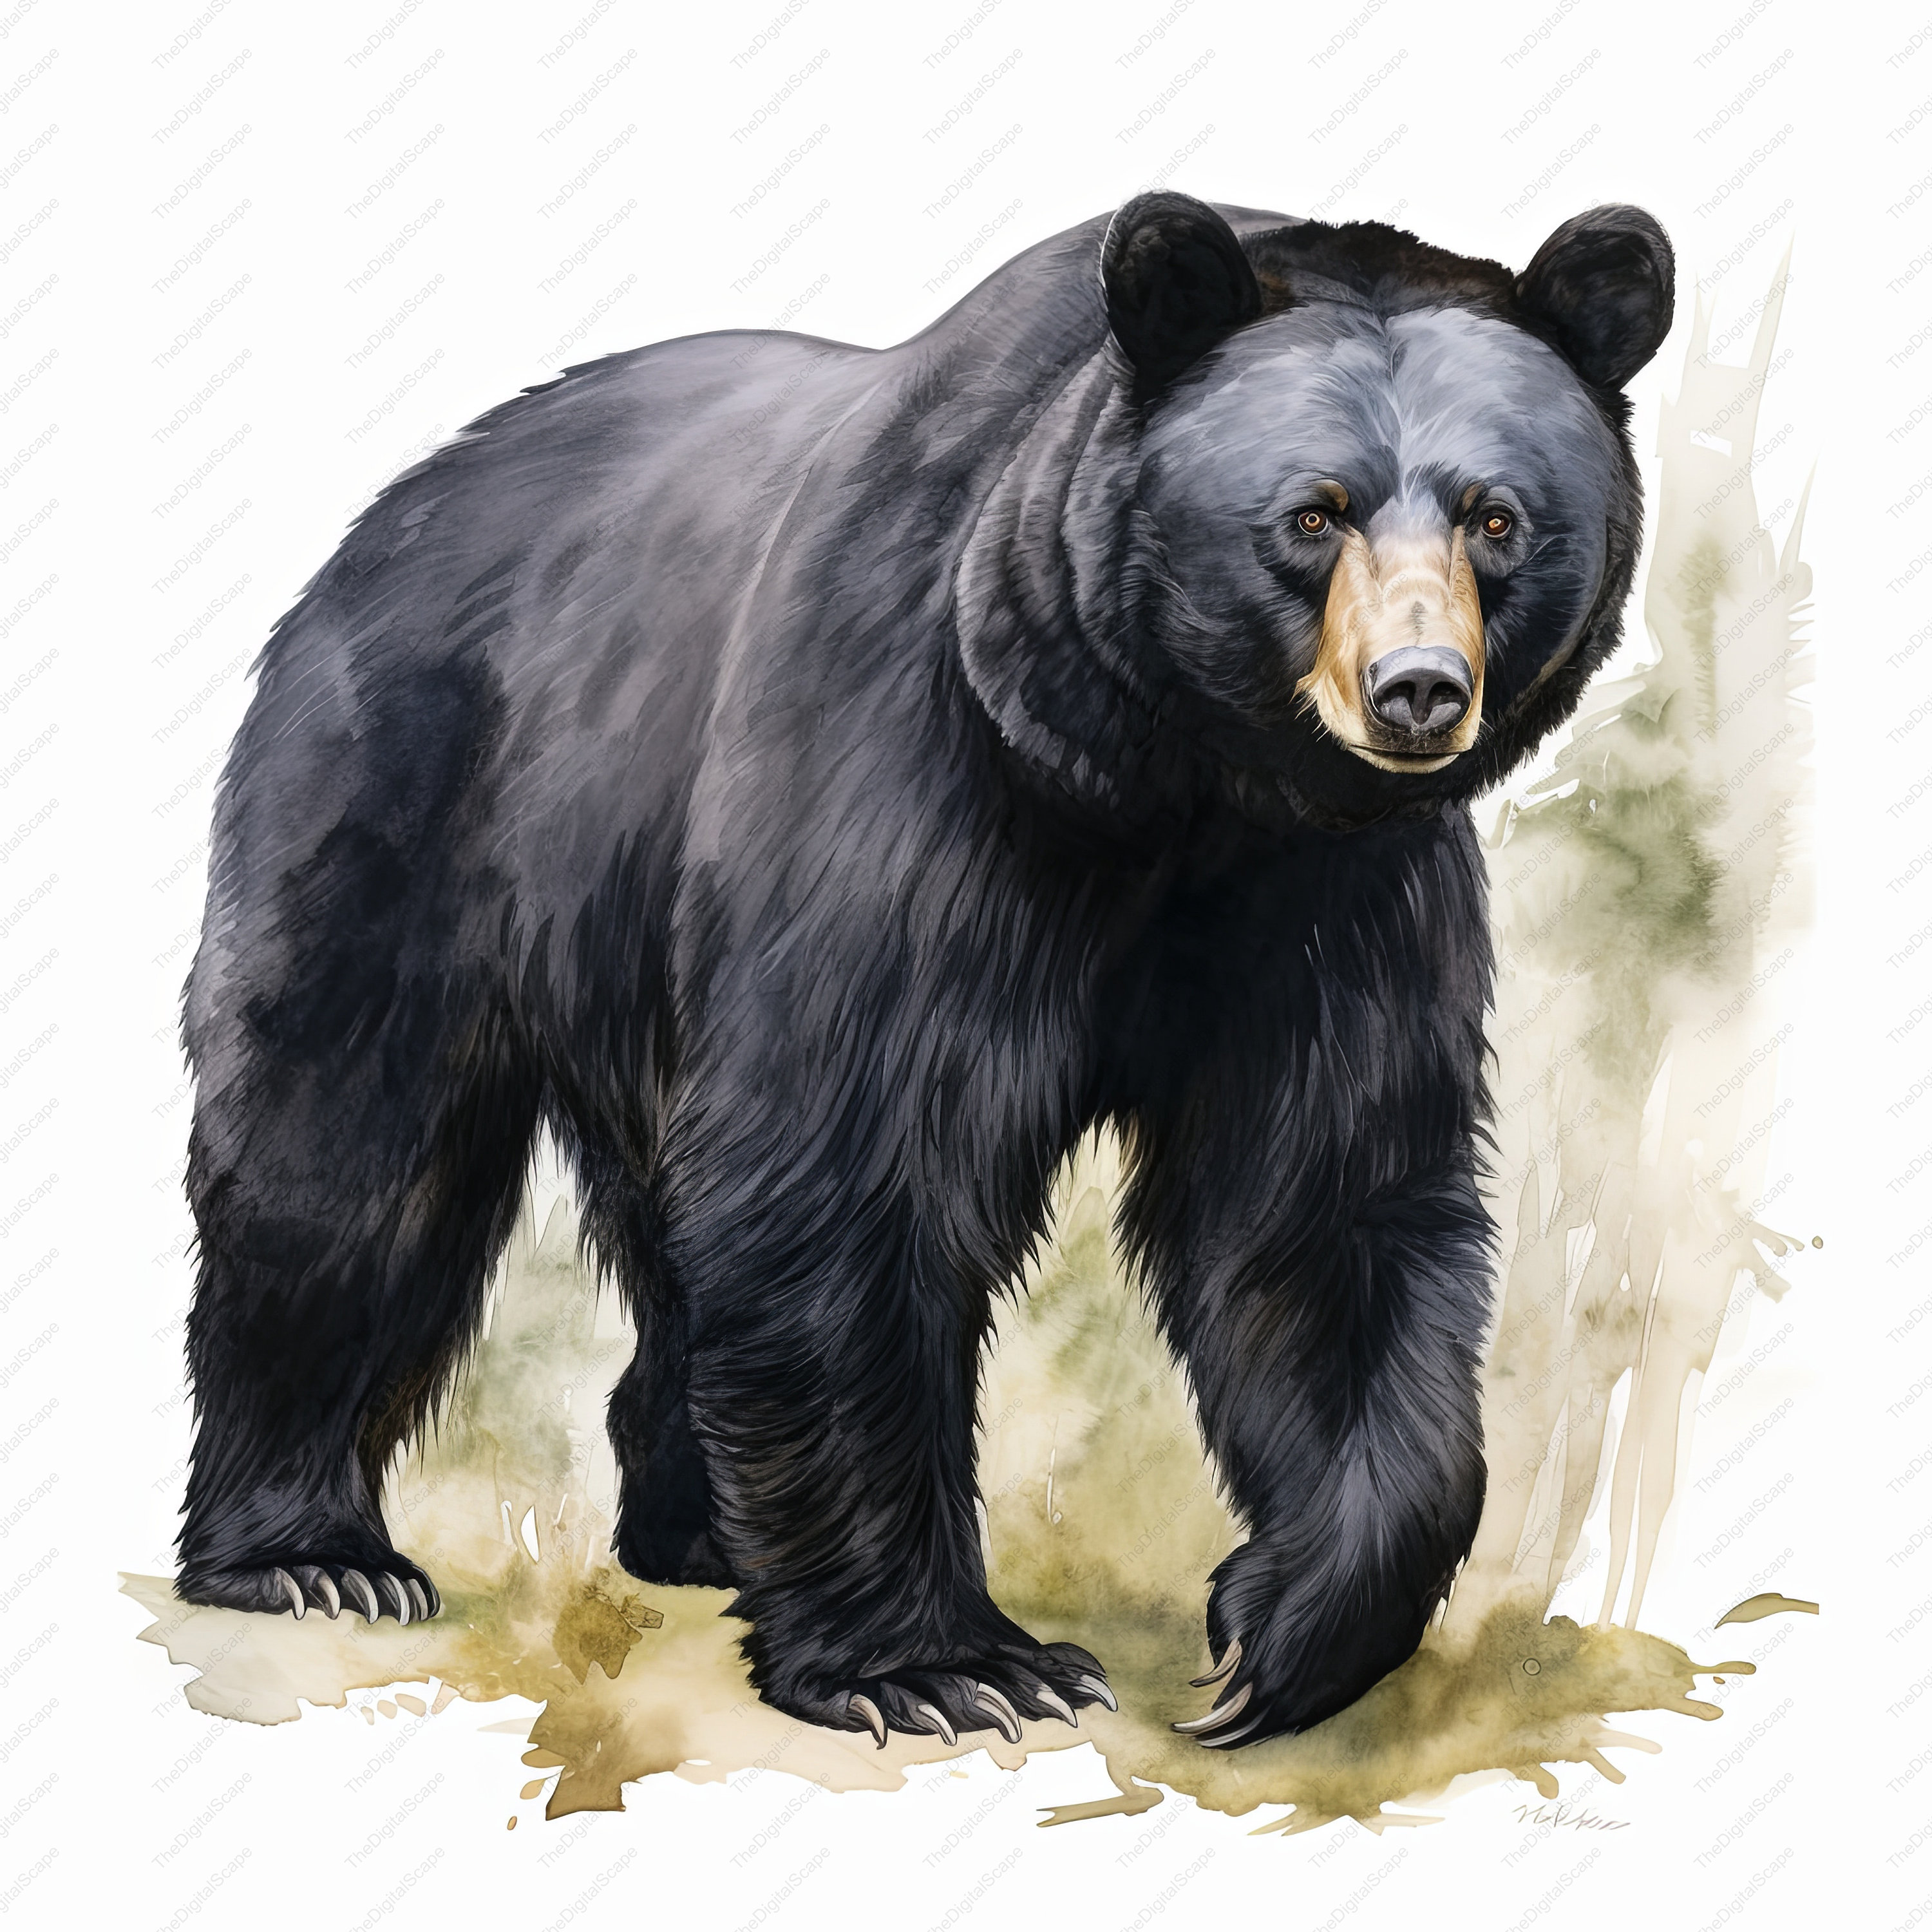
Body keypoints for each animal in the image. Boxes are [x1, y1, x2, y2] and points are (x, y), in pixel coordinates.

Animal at [175, 191, 1672, 1751]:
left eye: (1496, 518)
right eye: (1311, 515)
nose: (1419, 691)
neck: (1162, 780)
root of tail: (394, 508)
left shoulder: (1326, 897)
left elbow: (1326, 1201)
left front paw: (1286, 1636)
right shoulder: (914, 774)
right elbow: (852, 1166)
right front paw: (948, 1664)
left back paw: (692, 1528)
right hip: (412, 796)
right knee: (348, 1152)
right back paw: (306, 1551)